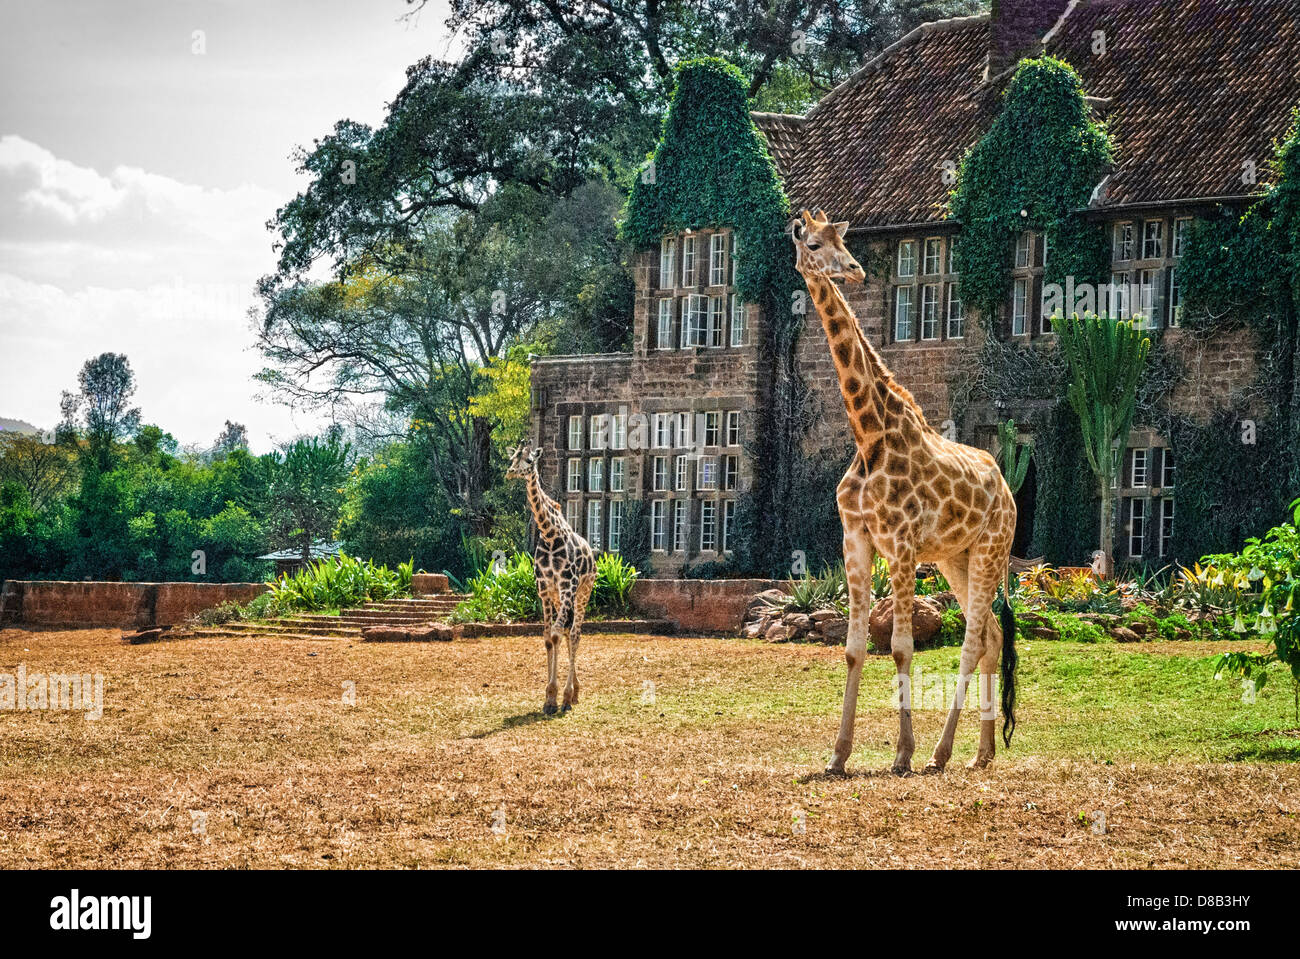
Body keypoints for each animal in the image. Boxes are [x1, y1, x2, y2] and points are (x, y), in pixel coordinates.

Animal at [506, 445, 597, 715]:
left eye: (529, 460)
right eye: (511, 458)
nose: (510, 472)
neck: (548, 534)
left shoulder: (568, 587)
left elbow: (556, 634)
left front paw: (559, 696)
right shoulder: (545, 590)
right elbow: (549, 638)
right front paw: (549, 698)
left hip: (583, 592)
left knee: (575, 633)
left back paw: (571, 695)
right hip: (560, 597)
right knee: (567, 632)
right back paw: (575, 692)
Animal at [789, 209, 1019, 776]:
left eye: (843, 242)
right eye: (812, 243)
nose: (853, 271)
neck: (868, 435)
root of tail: (1007, 489)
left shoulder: (901, 544)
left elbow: (900, 647)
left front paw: (903, 753)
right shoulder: (856, 539)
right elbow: (854, 648)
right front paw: (838, 755)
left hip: (990, 550)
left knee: (972, 642)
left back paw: (939, 753)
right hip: (958, 558)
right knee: (991, 637)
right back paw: (981, 752)